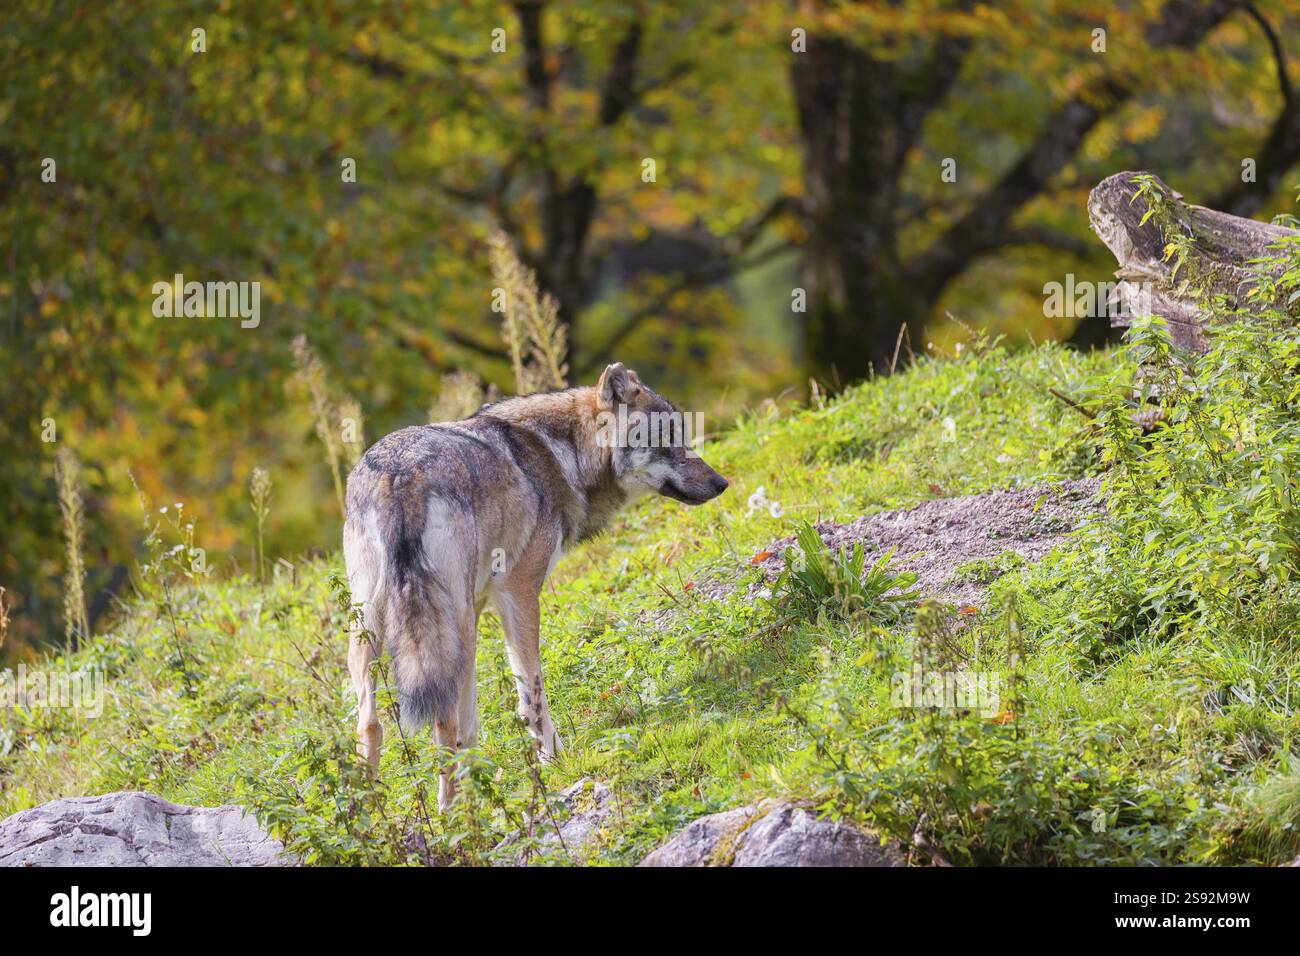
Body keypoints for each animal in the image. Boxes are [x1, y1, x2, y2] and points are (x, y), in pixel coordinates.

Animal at [343, 362, 728, 808]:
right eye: (668, 440)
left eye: (683, 435)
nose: (722, 483)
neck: (560, 455)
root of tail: (398, 476)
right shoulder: (519, 590)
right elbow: (531, 695)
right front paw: (552, 759)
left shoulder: (481, 608)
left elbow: (471, 720)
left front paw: (482, 779)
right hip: (446, 624)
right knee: (440, 720)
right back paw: (452, 811)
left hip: (381, 627)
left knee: (372, 723)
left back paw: (370, 813)